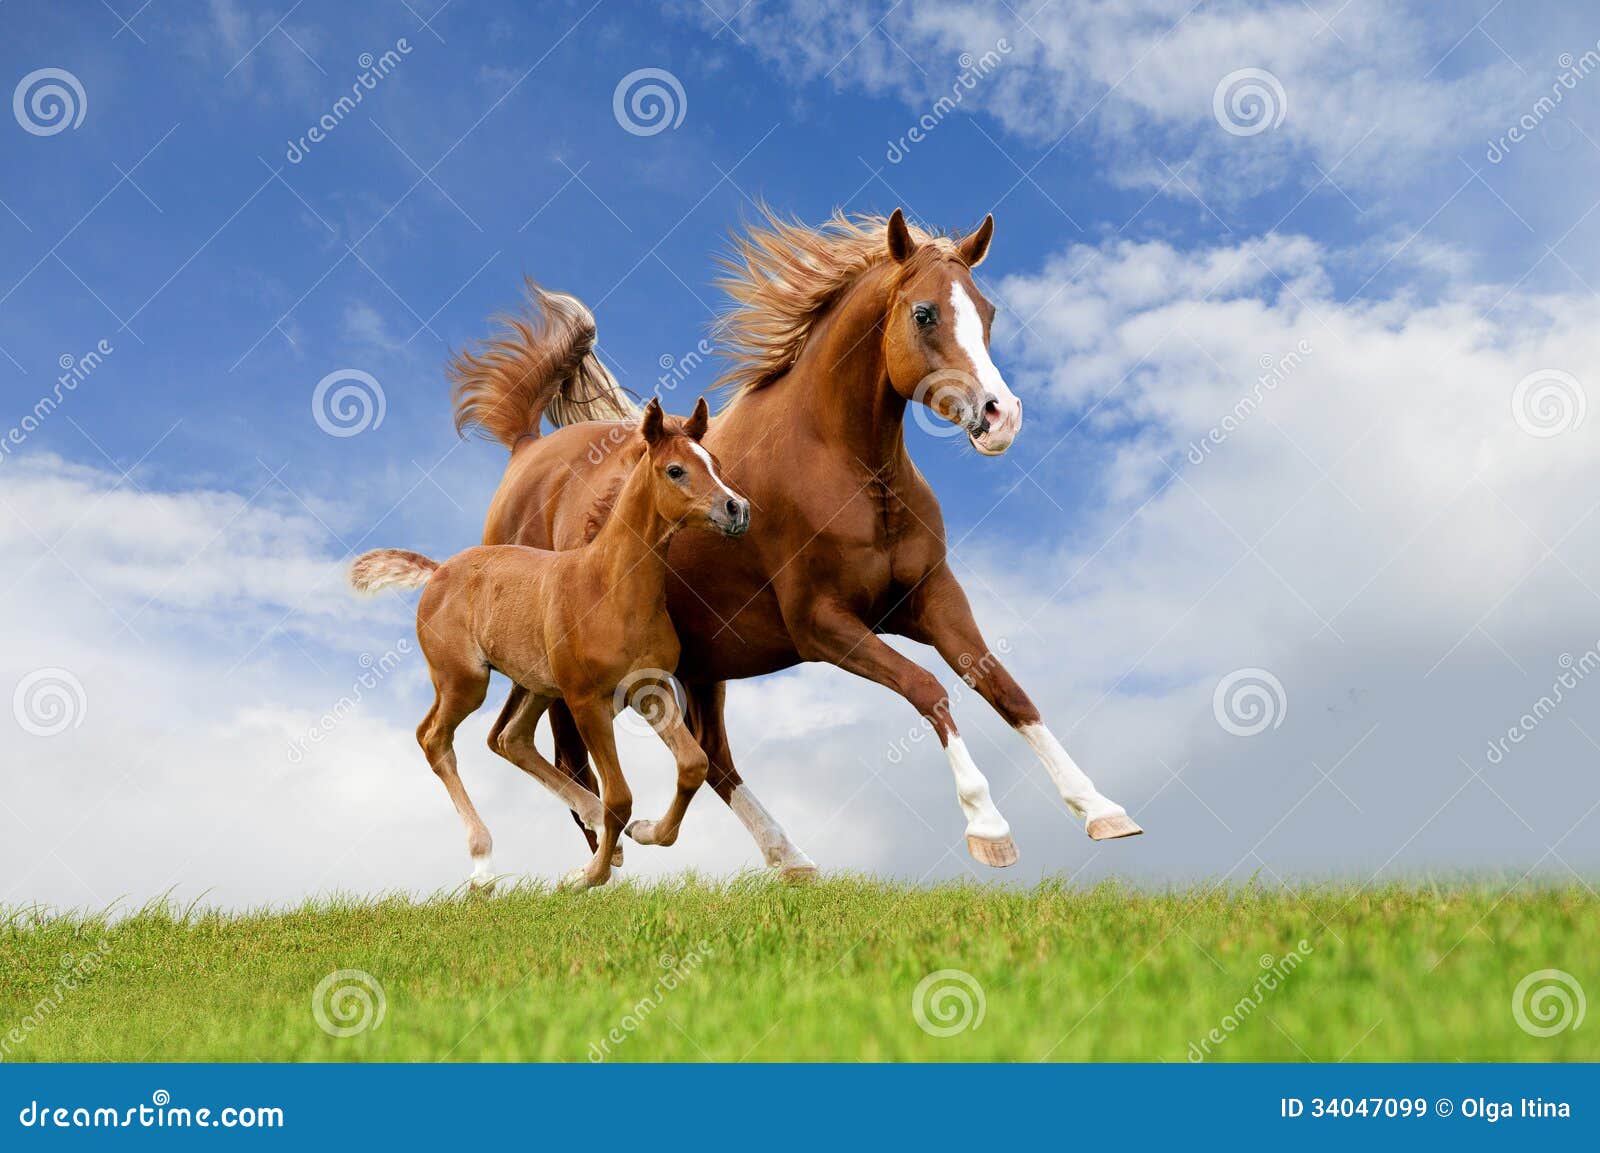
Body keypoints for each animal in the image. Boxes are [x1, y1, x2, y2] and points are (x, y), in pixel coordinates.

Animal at [349, 398, 751, 891]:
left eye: (715, 463)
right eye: (675, 470)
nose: (737, 508)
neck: (610, 588)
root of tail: (439, 570)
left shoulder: (649, 689)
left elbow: (693, 765)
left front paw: (645, 832)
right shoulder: (586, 701)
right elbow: (620, 795)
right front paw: (586, 876)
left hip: (537, 685)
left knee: (510, 738)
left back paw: (599, 828)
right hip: (465, 682)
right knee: (434, 738)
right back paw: (484, 863)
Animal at [448, 207, 1142, 877]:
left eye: (988, 312)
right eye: (924, 313)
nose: (1002, 417)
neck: (848, 468)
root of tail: (526, 450)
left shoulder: (931, 598)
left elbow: (1002, 686)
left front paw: (1101, 809)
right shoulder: (823, 625)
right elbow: (928, 689)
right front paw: (988, 828)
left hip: (702, 665)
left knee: (710, 758)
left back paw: (787, 858)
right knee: (553, 751)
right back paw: (608, 852)